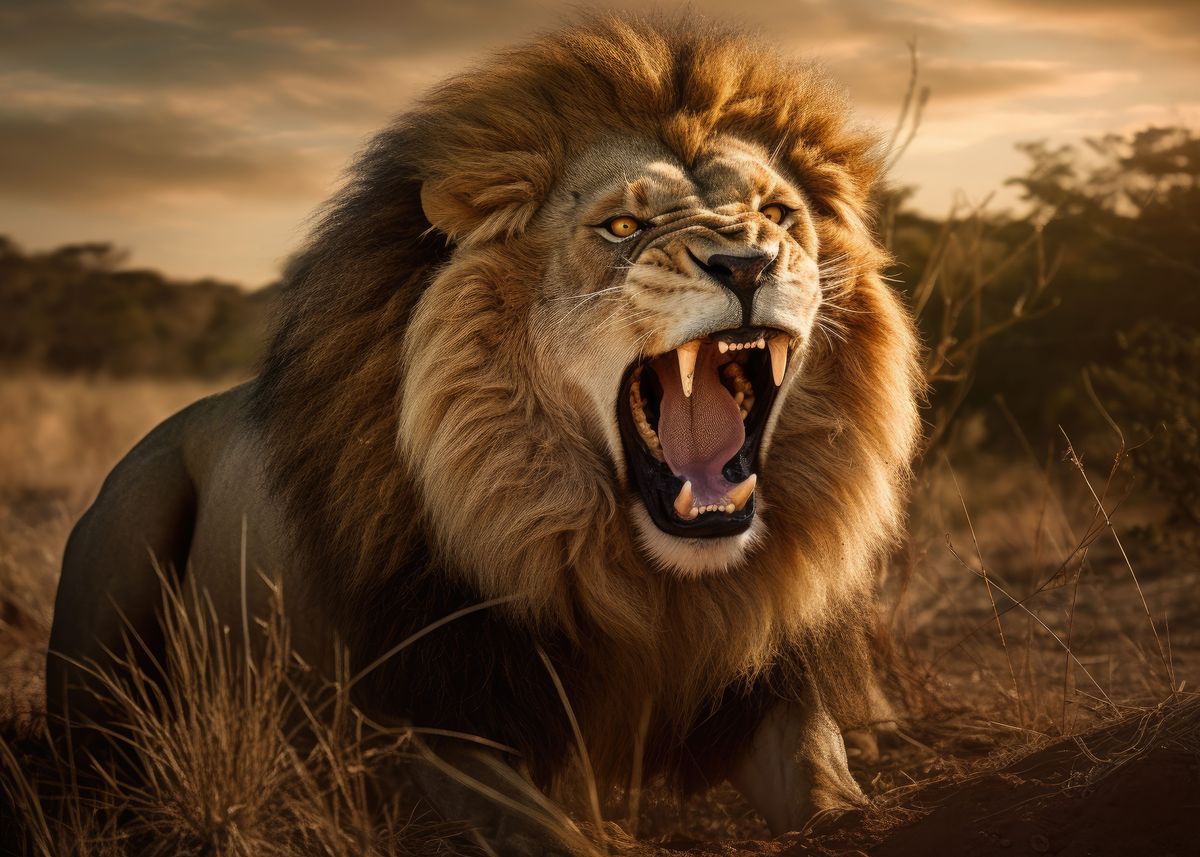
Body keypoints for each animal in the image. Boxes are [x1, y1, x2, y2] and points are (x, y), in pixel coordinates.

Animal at [47, 15, 921, 851]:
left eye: (777, 215)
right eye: (622, 224)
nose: (746, 263)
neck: (653, 585)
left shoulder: (768, 691)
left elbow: (832, 787)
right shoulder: (410, 731)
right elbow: (548, 831)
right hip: (125, 537)